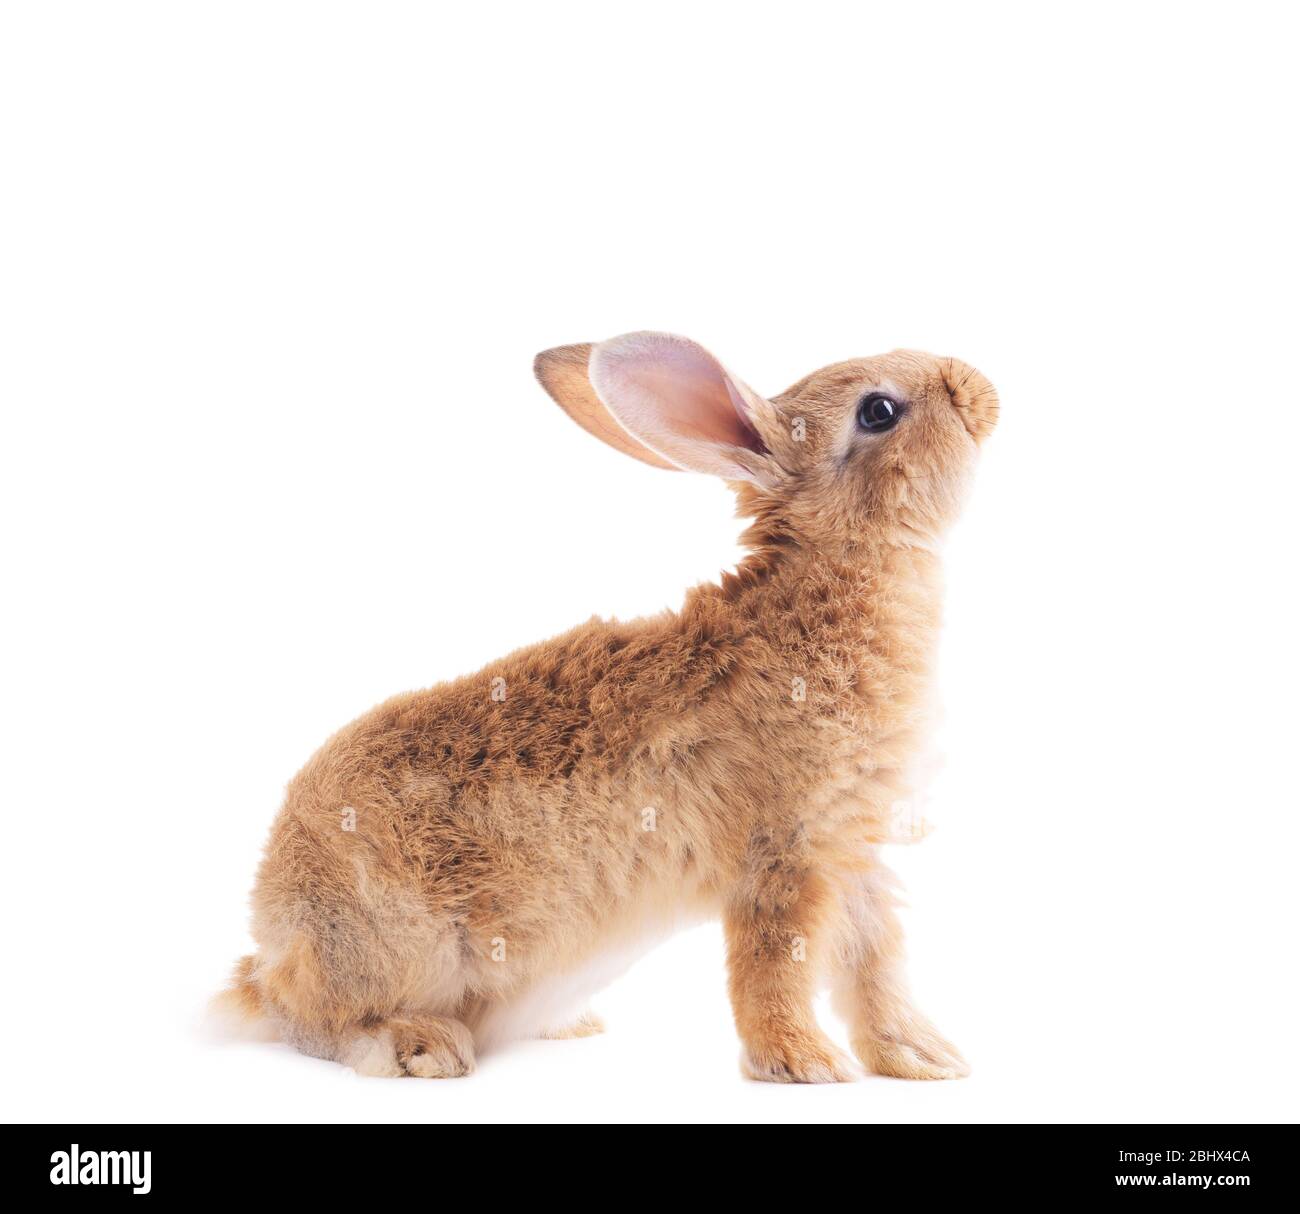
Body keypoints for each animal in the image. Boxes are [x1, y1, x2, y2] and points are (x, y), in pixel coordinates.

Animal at [216, 331, 998, 1082]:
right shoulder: (785, 848)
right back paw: (420, 1046)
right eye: (879, 411)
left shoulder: (851, 846)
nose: (978, 384)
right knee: (313, 1019)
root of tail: (274, 930)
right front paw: (804, 1064)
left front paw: (925, 1060)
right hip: (402, 949)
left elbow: (875, 963)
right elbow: (775, 962)